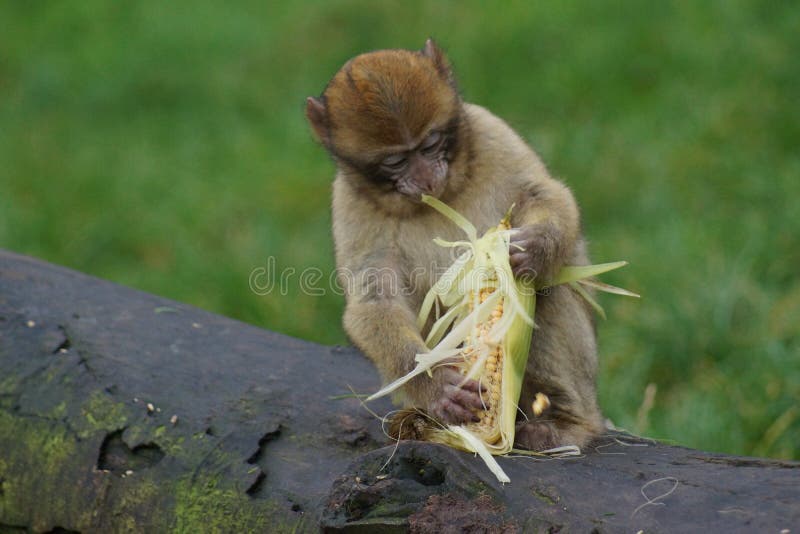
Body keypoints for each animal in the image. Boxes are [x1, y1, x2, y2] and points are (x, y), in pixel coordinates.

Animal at [305, 39, 604, 451]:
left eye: (430, 144)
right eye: (395, 162)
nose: (426, 178)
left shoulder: (489, 131)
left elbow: (546, 194)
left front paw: (537, 247)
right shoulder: (350, 200)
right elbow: (375, 298)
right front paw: (435, 385)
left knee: (549, 293)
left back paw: (566, 422)